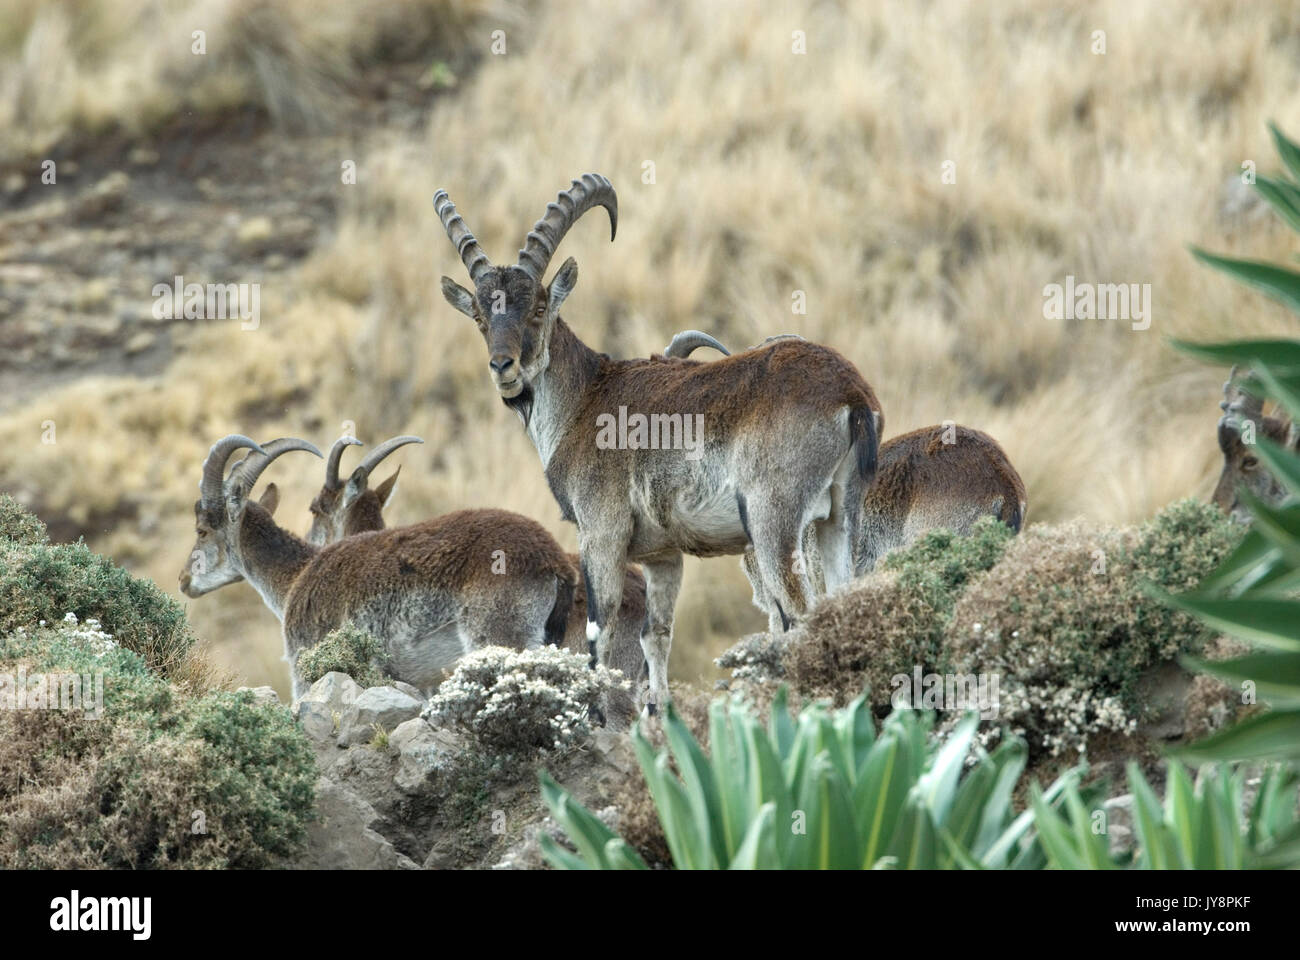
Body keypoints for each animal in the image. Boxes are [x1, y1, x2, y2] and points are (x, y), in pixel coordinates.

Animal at [179, 434, 577, 698]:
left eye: (201, 530)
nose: (184, 580)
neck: (295, 578)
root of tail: (555, 562)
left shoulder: (304, 668)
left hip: (501, 636)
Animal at [435, 174, 883, 712]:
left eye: (539, 307)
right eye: (481, 315)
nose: (504, 367)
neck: (583, 399)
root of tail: (851, 395)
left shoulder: (602, 531)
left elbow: (600, 632)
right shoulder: (662, 555)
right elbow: (656, 635)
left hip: (773, 517)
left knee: (797, 609)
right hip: (840, 513)